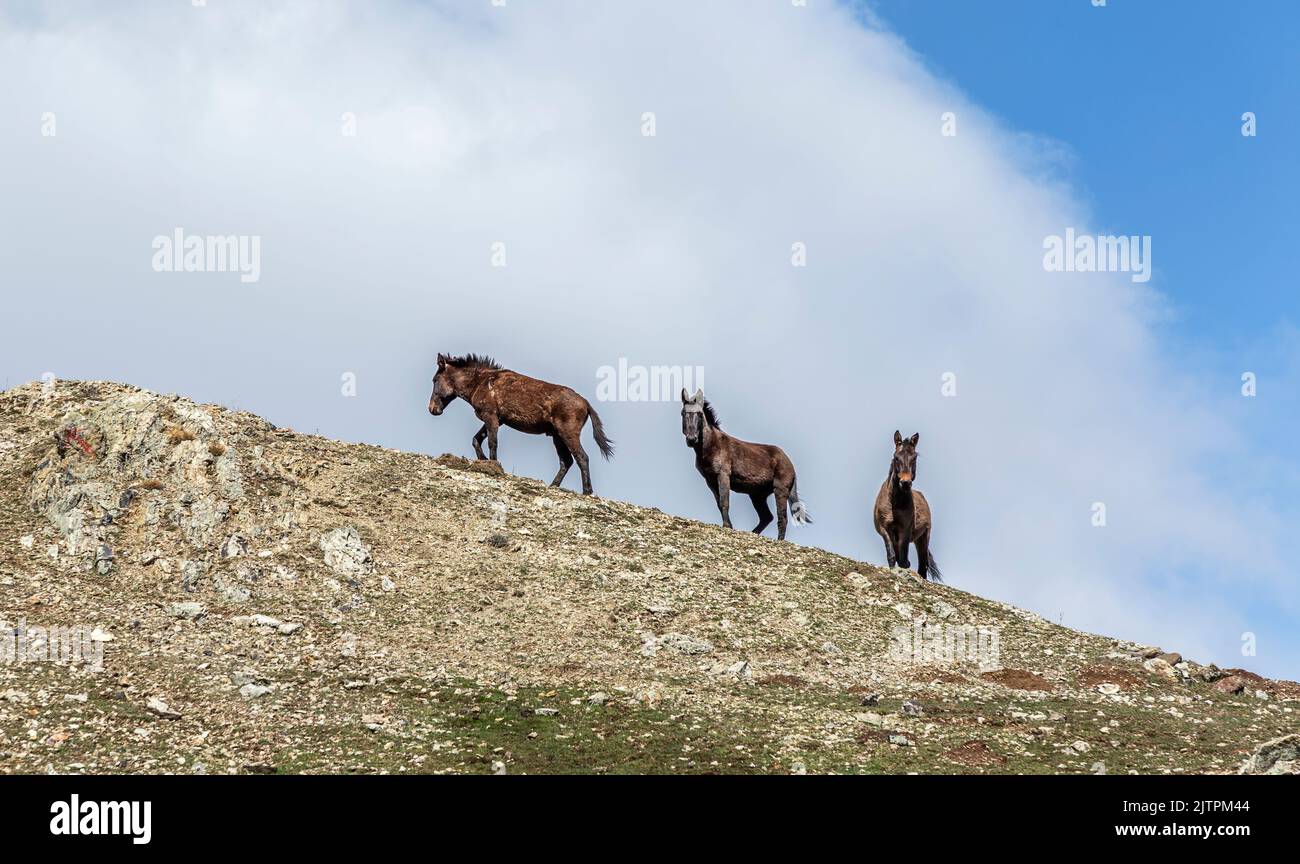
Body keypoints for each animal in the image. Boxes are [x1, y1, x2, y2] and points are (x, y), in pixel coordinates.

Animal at [428, 353, 614, 495]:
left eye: (435, 379)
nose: (432, 408)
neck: (481, 382)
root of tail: (586, 404)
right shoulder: (497, 419)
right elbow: (476, 440)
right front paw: (484, 460)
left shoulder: (491, 417)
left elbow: (492, 442)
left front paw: (494, 466)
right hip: (557, 436)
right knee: (566, 461)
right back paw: (554, 486)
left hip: (567, 433)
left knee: (582, 458)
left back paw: (587, 491)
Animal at [680, 388, 810, 540]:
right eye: (683, 413)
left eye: (700, 414)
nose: (691, 439)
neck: (711, 446)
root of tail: (789, 463)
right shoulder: (710, 480)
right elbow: (719, 503)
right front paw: (729, 526)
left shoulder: (723, 475)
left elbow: (724, 502)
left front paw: (727, 526)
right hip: (757, 495)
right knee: (767, 517)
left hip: (780, 490)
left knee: (781, 518)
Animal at [873, 431, 942, 582]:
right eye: (896, 457)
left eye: (914, 457)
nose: (905, 483)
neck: (895, 504)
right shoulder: (884, 529)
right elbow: (892, 556)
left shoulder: (905, 530)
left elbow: (904, 561)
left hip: (923, 538)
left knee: (922, 566)